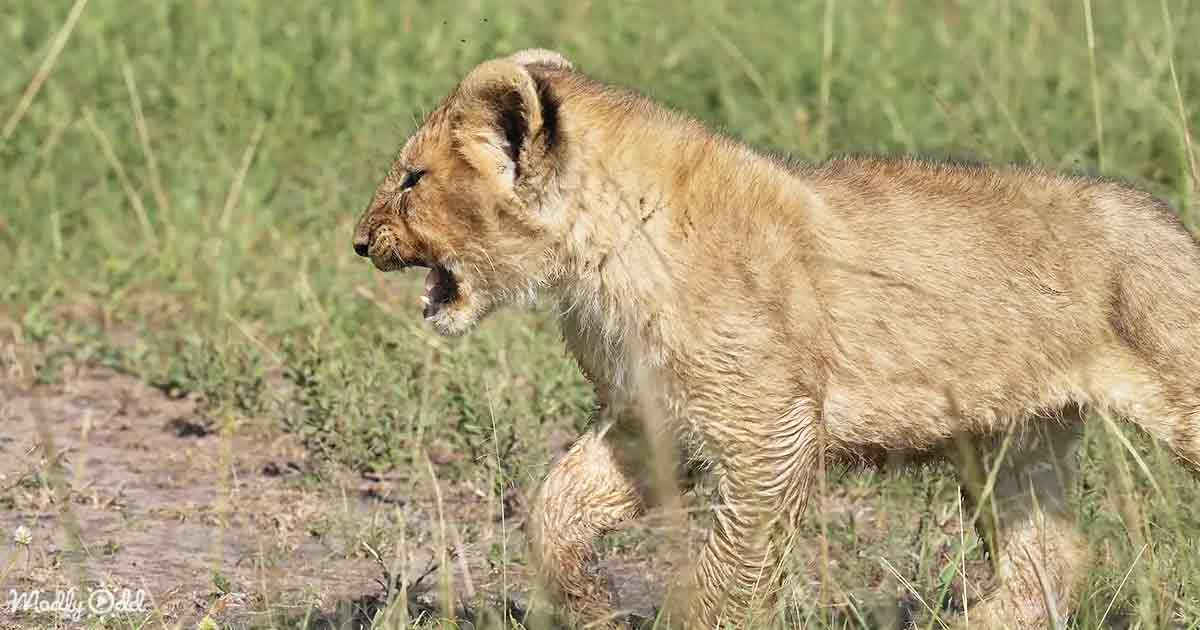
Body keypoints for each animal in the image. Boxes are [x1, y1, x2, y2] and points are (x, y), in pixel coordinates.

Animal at [352, 49, 1200, 629]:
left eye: (412, 179)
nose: (359, 242)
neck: (599, 262)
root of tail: (1169, 224)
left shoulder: (769, 426)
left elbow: (733, 566)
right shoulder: (648, 417)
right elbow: (554, 504)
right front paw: (587, 604)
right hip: (1014, 436)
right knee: (1049, 562)